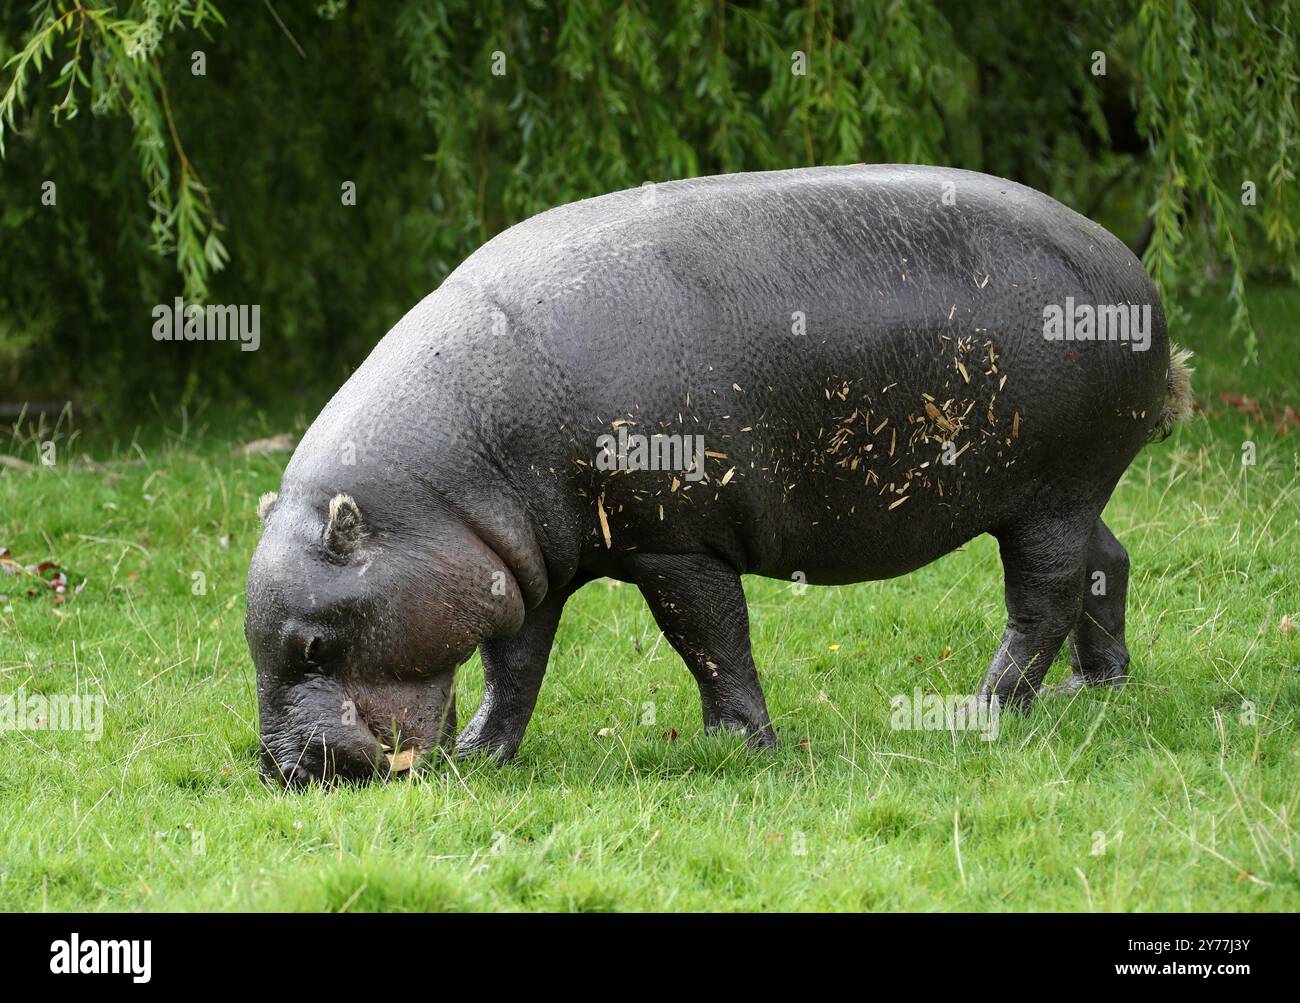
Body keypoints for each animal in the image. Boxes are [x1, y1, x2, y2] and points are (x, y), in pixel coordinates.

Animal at [246, 164, 1193, 787]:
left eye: (314, 644)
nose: (286, 771)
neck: (450, 486)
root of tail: (1137, 273)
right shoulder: (519, 569)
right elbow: (512, 666)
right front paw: (484, 754)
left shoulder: (677, 544)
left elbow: (708, 638)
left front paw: (736, 747)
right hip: (1067, 491)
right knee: (1107, 564)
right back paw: (1095, 686)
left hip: (1049, 495)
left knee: (1043, 597)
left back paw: (980, 711)